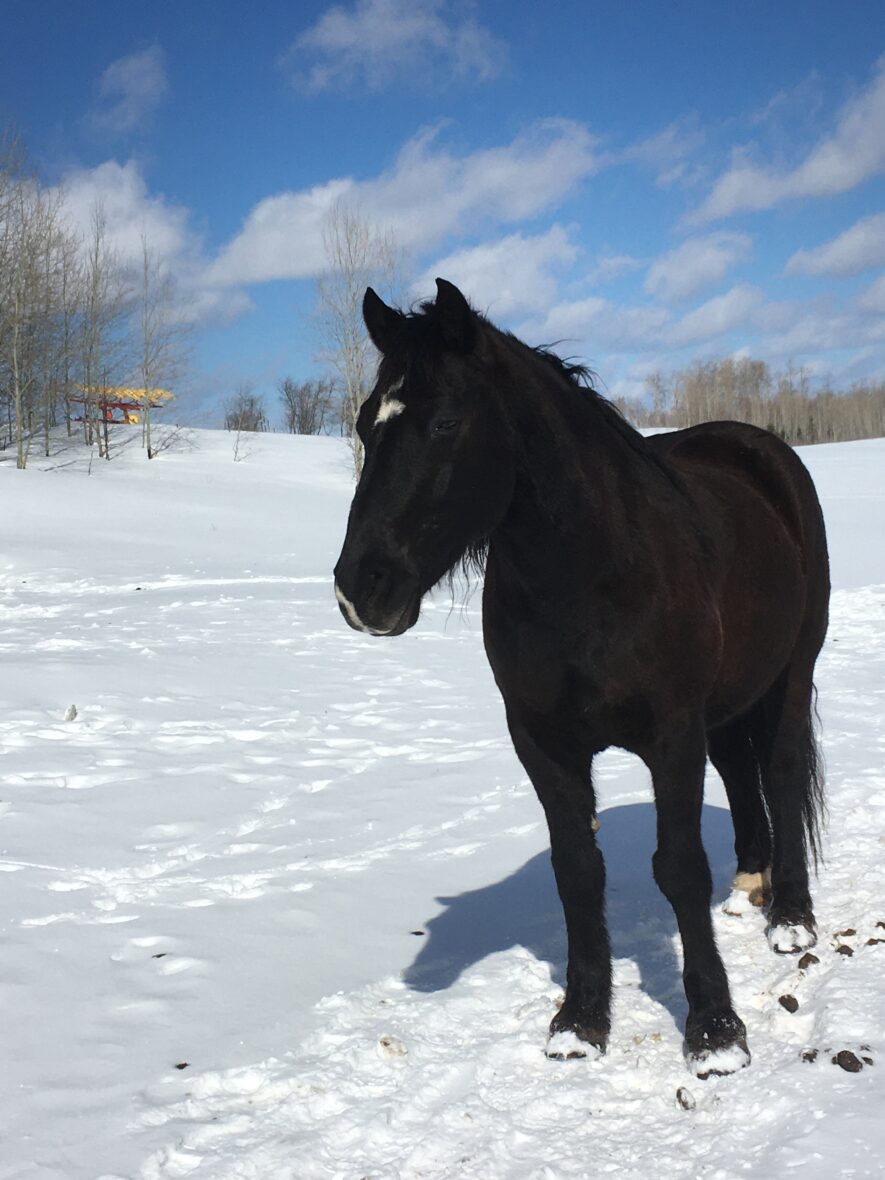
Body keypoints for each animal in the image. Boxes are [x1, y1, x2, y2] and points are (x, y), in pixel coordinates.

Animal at [333, 278, 829, 1078]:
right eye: (363, 424)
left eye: (444, 421)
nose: (360, 590)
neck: (593, 577)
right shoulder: (544, 743)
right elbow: (577, 872)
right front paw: (581, 1021)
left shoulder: (671, 735)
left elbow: (679, 866)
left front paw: (715, 1033)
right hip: (727, 703)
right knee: (738, 772)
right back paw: (748, 887)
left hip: (792, 671)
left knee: (780, 773)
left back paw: (790, 919)